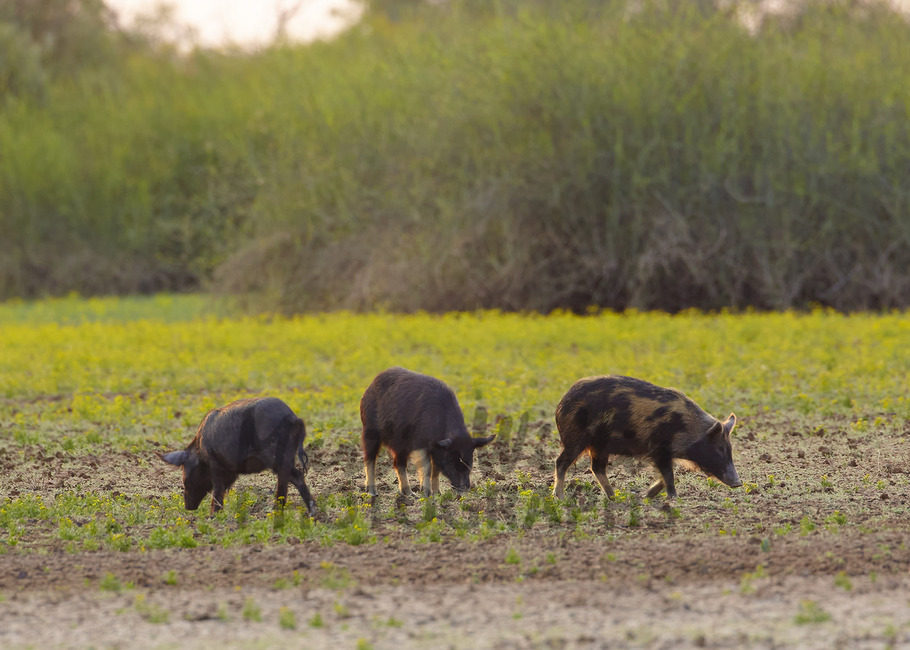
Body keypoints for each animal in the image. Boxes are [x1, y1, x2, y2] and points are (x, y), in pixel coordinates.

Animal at [160, 397, 317, 515]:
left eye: (185, 478)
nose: (188, 507)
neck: (199, 451)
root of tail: (292, 417)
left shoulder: (215, 464)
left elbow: (217, 490)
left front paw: (213, 516)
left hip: (275, 455)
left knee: (296, 476)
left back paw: (311, 513)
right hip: (288, 455)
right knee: (284, 480)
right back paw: (278, 511)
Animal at [360, 367, 495, 497]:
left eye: (469, 462)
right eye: (451, 462)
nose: (464, 490)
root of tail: (372, 383)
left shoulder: (437, 449)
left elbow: (436, 471)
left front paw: (437, 494)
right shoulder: (421, 444)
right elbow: (428, 469)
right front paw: (427, 495)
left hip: (400, 444)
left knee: (398, 463)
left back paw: (410, 494)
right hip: (369, 430)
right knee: (370, 459)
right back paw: (373, 492)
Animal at [553, 375, 742, 500]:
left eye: (730, 449)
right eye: (719, 449)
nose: (738, 483)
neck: (687, 427)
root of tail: (563, 401)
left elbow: (668, 474)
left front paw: (648, 495)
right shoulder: (659, 449)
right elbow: (669, 475)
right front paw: (673, 498)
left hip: (599, 446)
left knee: (597, 468)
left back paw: (615, 497)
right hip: (576, 438)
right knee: (561, 462)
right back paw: (560, 497)